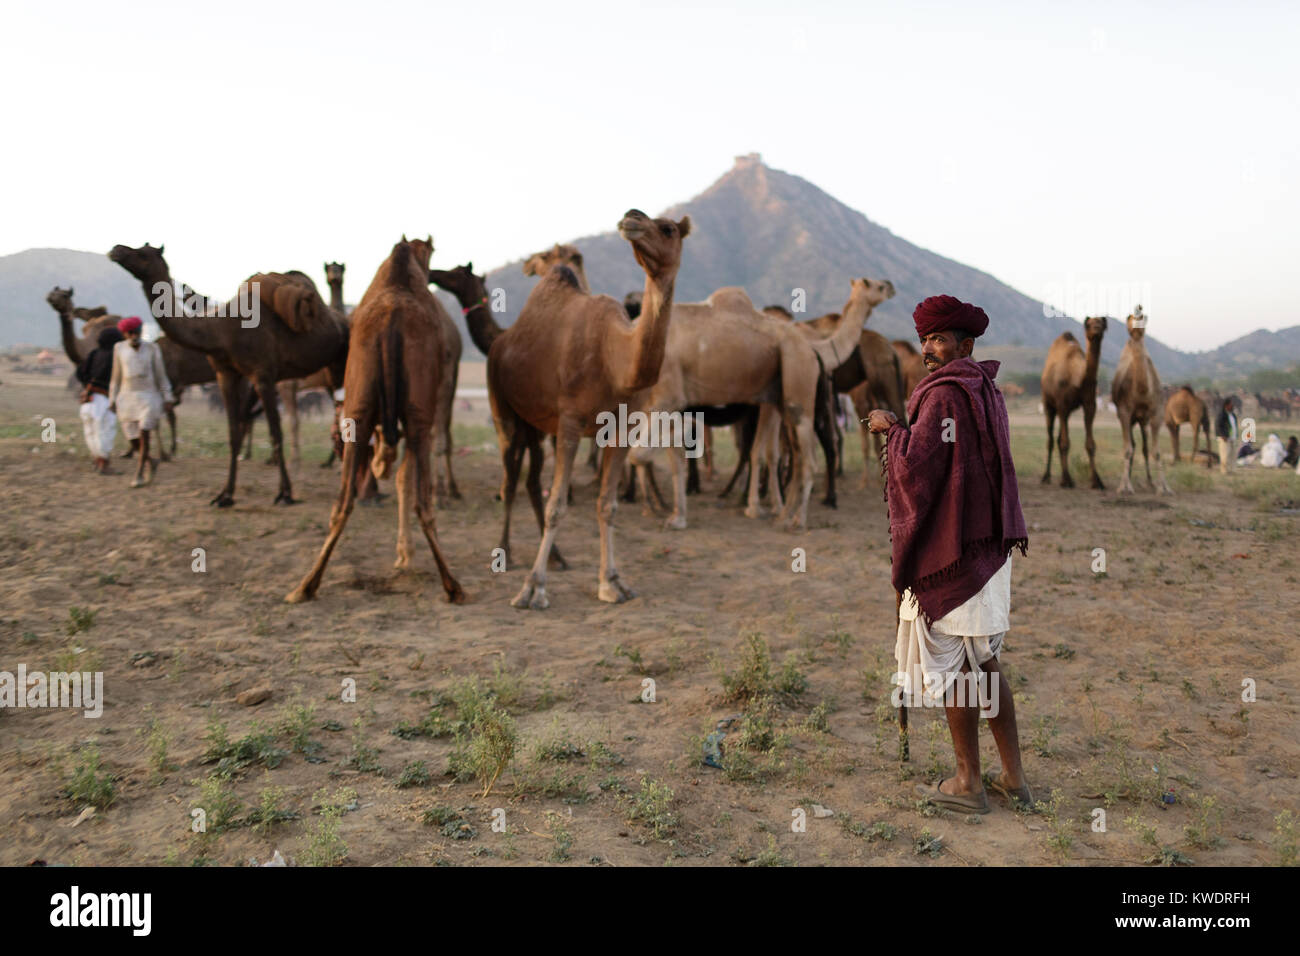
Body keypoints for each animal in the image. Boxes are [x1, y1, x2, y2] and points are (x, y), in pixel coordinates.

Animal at [108, 242, 349, 506]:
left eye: (142, 253)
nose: (116, 250)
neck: (219, 331)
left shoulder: (263, 375)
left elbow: (276, 432)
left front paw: (285, 493)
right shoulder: (225, 374)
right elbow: (233, 433)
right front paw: (225, 495)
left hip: (341, 362)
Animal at [286, 238, 464, 605]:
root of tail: (392, 322)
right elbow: (401, 476)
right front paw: (404, 555)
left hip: (360, 406)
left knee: (342, 502)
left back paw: (305, 586)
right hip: (418, 414)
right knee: (421, 498)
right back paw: (452, 585)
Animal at [489, 209, 690, 609]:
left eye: (668, 229)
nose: (631, 217)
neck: (615, 357)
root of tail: (500, 341)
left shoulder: (622, 428)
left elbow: (607, 505)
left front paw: (612, 582)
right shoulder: (569, 422)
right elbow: (557, 507)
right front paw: (533, 589)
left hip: (535, 423)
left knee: (528, 477)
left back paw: (555, 556)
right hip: (502, 406)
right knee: (509, 477)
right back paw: (507, 552)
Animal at [1040, 316, 1107, 489]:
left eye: (1101, 323)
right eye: (1089, 324)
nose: (1097, 329)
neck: (1078, 378)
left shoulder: (1090, 404)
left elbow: (1090, 444)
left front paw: (1097, 481)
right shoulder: (1062, 404)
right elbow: (1065, 443)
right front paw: (1066, 480)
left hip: (1067, 411)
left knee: (1057, 438)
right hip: (1048, 404)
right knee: (1051, 439)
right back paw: (1046, 477)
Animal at [1111, 311, 1171, 495]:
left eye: (1143, 316)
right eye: (1130, 317)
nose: (1137, 313)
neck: (1143, 390)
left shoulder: (1157, 412)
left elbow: (1156, 452)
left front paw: (1163, 487)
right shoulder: (1124, 412)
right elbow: (1127, 450)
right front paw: (1124, 487)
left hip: (1143, 420)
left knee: (1144, 447)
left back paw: (1150, 482)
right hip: (1131, 418)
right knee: (1133, 445)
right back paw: (1129, 479)